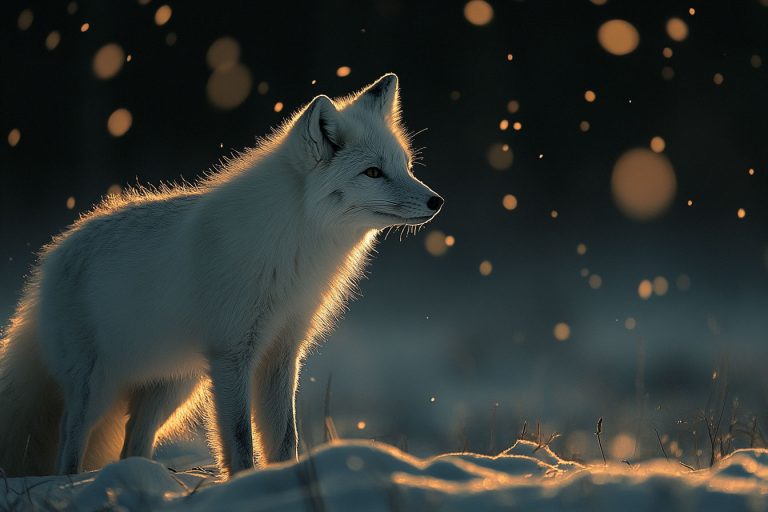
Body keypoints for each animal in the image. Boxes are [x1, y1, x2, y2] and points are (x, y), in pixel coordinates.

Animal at [0, 73, 443, 477]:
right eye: (373, 173)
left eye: (405, 167)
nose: (436, 201)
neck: (293, 245)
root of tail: (52, 255)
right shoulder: (233, 355)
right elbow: (241, 441)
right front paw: (245, 483)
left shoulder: (282, 352)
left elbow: (285, 438)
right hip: (97, 388)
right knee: (68, 444)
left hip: (173, 387)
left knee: (133, 445)